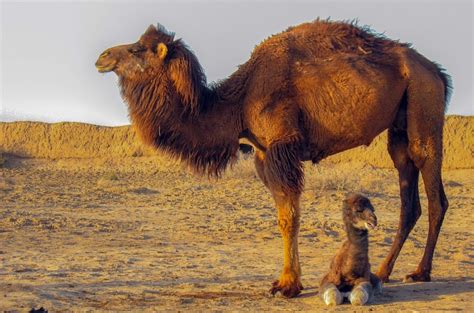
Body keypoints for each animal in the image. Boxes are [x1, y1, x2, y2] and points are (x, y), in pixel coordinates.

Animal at [95, 19, 452, 298]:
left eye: (137, 49)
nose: (102, 57)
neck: (238, 103)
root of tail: (437, 71)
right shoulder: (263, 154)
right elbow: (282, 214)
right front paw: (286, 280)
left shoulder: (282, 146)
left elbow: (289, 216)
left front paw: (288, 285)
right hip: (400, 125)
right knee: (408, 195)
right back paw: (384, 271)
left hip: (424, 103)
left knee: (434, 192)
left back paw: (420, 272)